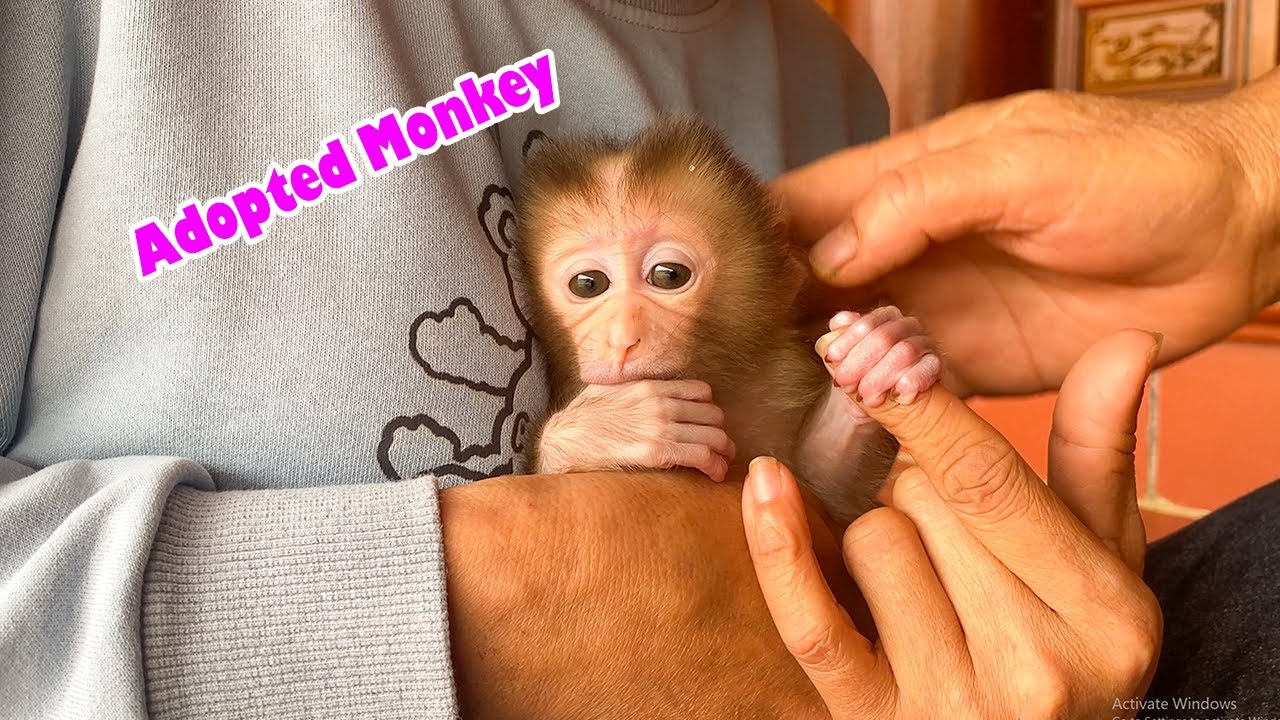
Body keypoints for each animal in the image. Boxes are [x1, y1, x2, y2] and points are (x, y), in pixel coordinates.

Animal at [515, 116, 940, 525]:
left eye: (669, 275)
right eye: (588, 284)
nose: (622, 340)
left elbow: (830, 499)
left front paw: (881, 351)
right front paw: (610, 427)